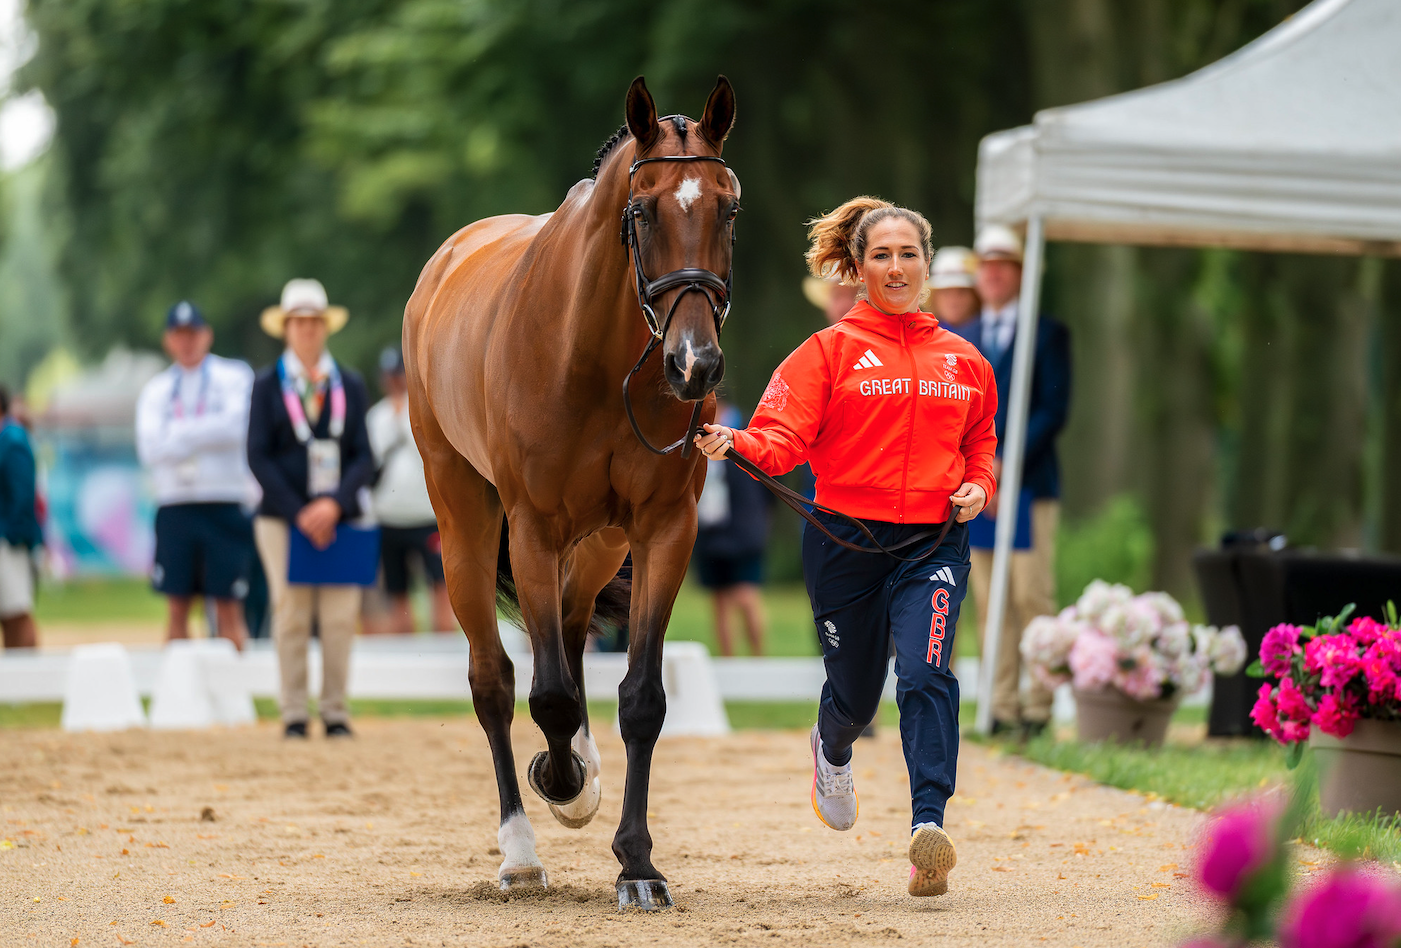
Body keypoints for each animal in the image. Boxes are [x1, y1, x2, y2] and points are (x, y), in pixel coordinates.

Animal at [402, 75, 738, 911]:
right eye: (643, 210)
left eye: (728, 208)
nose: (695, 365)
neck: (592, 353)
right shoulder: (531, 528)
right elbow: (543, 694)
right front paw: (560, 782)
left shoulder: (662, 529)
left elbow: (641, 697)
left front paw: (637, 863)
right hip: (465, 523)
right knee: (494, 680)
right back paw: (521, 851)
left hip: (599, 544)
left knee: (574, 630)